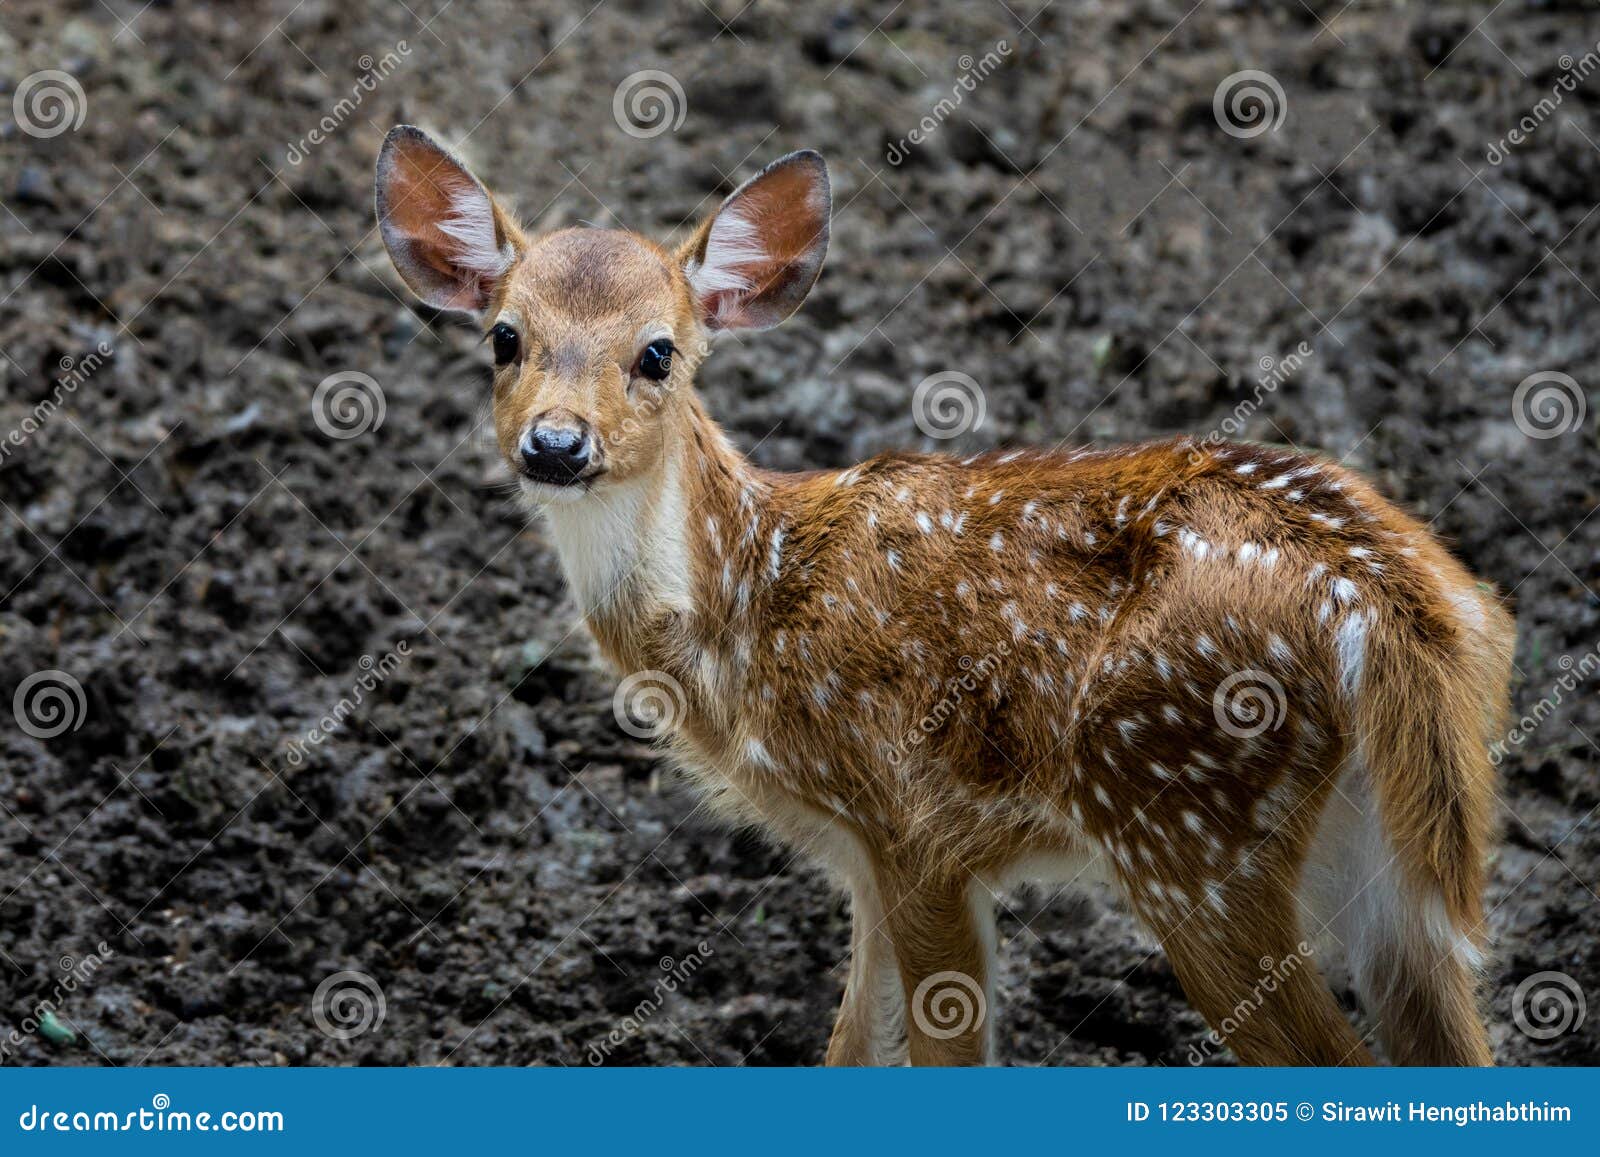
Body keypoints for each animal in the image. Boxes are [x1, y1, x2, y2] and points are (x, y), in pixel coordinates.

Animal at [375, 125, 1515, 1067]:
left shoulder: (913, 826)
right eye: (505, 337)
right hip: (1392, 861)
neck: (747, 608)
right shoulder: (867, 856)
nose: (556, 443)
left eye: (657, 350)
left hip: (1184, 820)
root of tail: (1393, 606)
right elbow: (849, 1052)